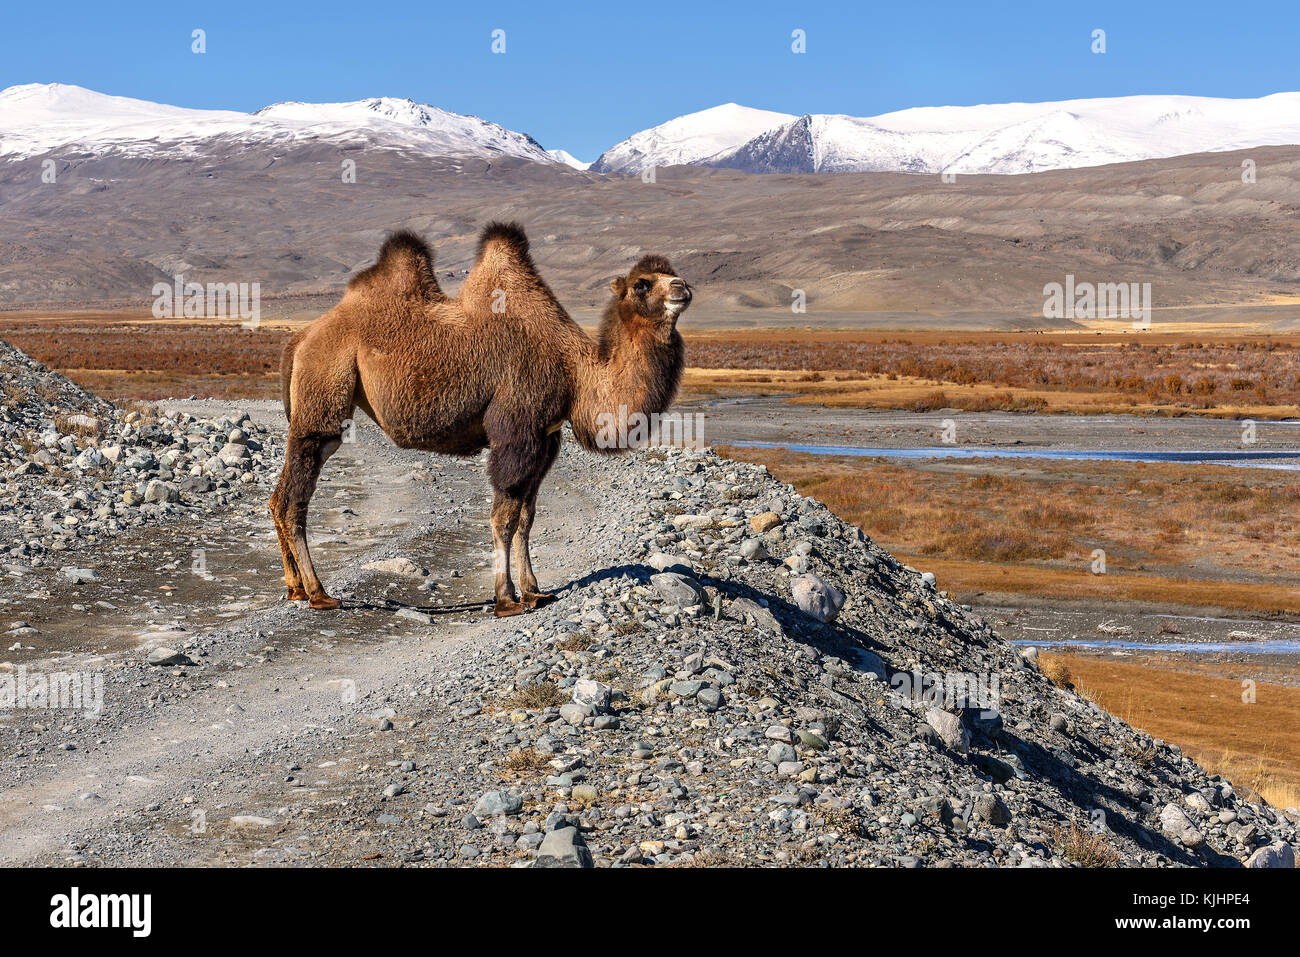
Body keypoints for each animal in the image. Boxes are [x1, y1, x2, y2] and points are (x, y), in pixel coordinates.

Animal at [269, 222, 691, 617]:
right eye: (641, 284)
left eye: (672, 273)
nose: (683, 286)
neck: (573, 371)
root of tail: (300, 339)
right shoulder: (517, 432)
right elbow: (503, 517)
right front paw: (506, 599)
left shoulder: (546, 439)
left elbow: (527, 517)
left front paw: (535, 592)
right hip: (322, 400)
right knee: (295, 498)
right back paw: (319, 594)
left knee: (278, 497)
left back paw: (295, 588)